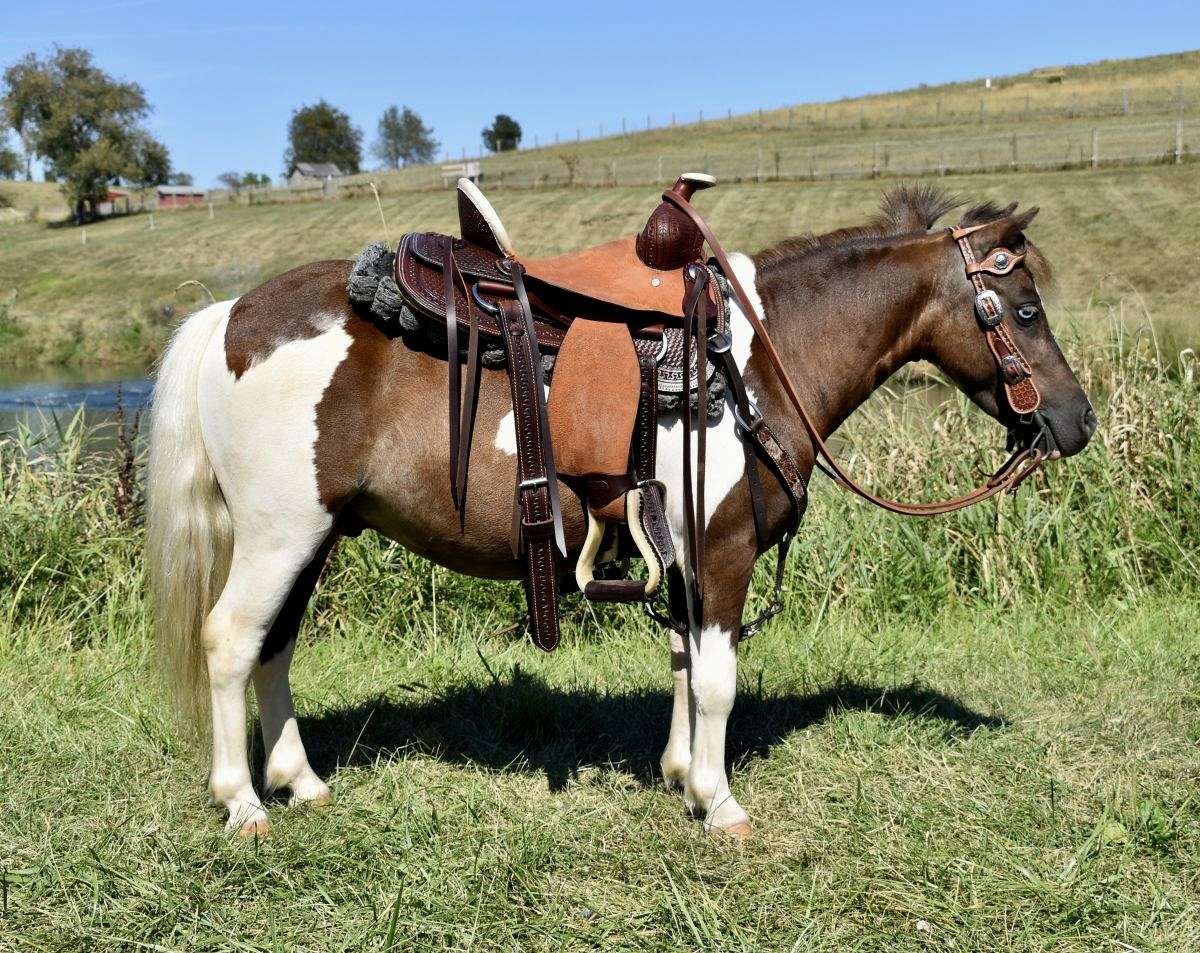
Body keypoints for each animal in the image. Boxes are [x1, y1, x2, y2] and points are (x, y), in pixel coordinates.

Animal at [146, 185, 1096, 837]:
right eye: (1024, 308)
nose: (1077, 420)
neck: (752, 364)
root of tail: (232, 315)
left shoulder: (681, 557)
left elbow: (682, 661)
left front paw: (679, 772)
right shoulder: (722, 552)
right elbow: (716, 679)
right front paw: (720, 802)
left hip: (313, 537)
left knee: (274, 647)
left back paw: (301, 783)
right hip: (280, 536)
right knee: (230, 642)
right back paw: (243, 804)